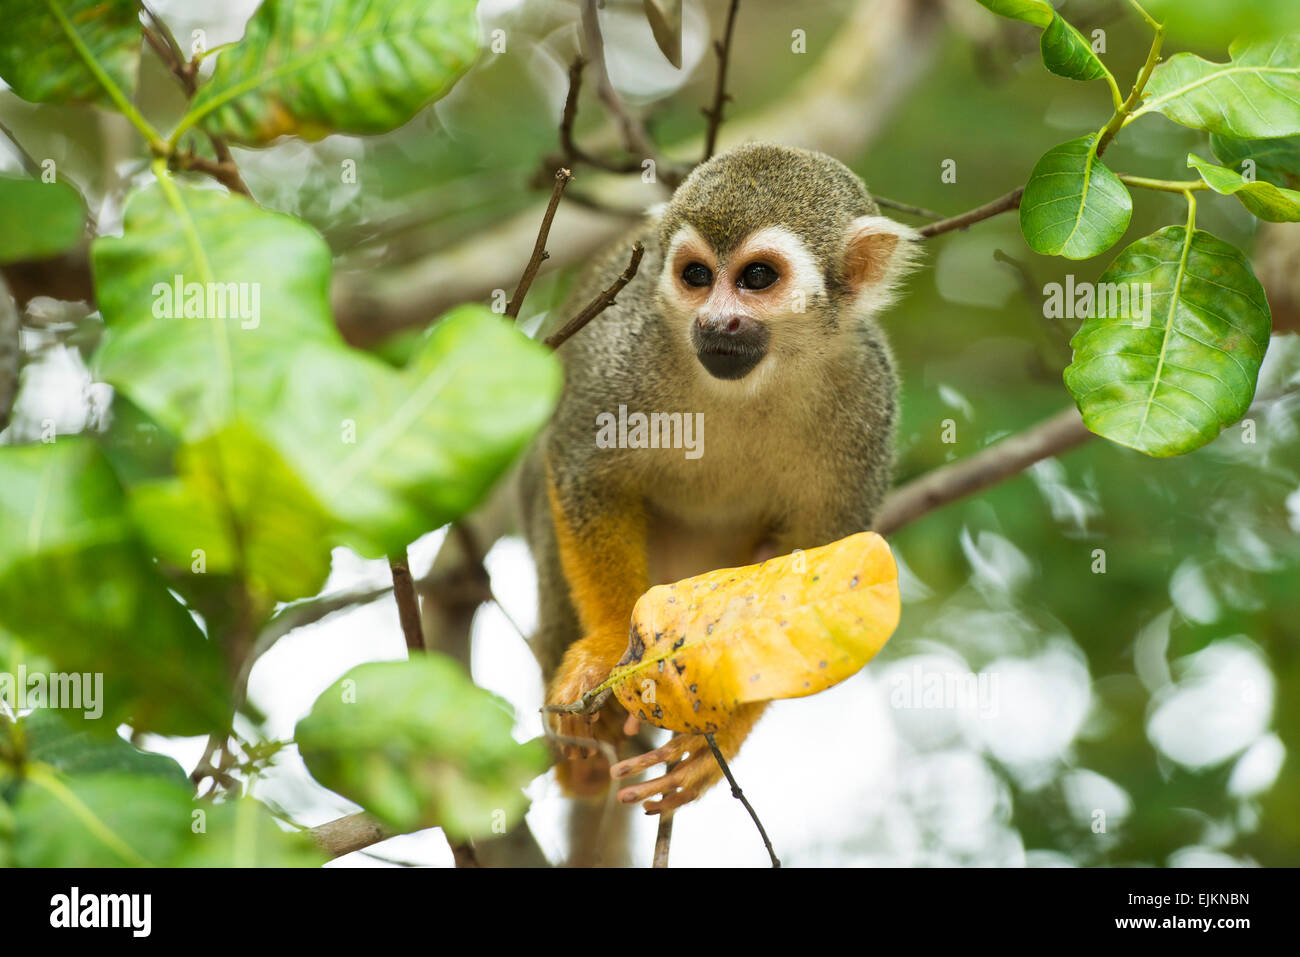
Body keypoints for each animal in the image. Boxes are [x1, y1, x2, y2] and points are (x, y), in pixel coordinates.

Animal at [517, 141, 918, 816]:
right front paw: (608, 644)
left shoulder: (867, 396)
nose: (717, 322)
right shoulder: (628, 349)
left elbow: (825, 564)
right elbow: (584, 467)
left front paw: (723, 735)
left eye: (756, 278)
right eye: (697, 277)